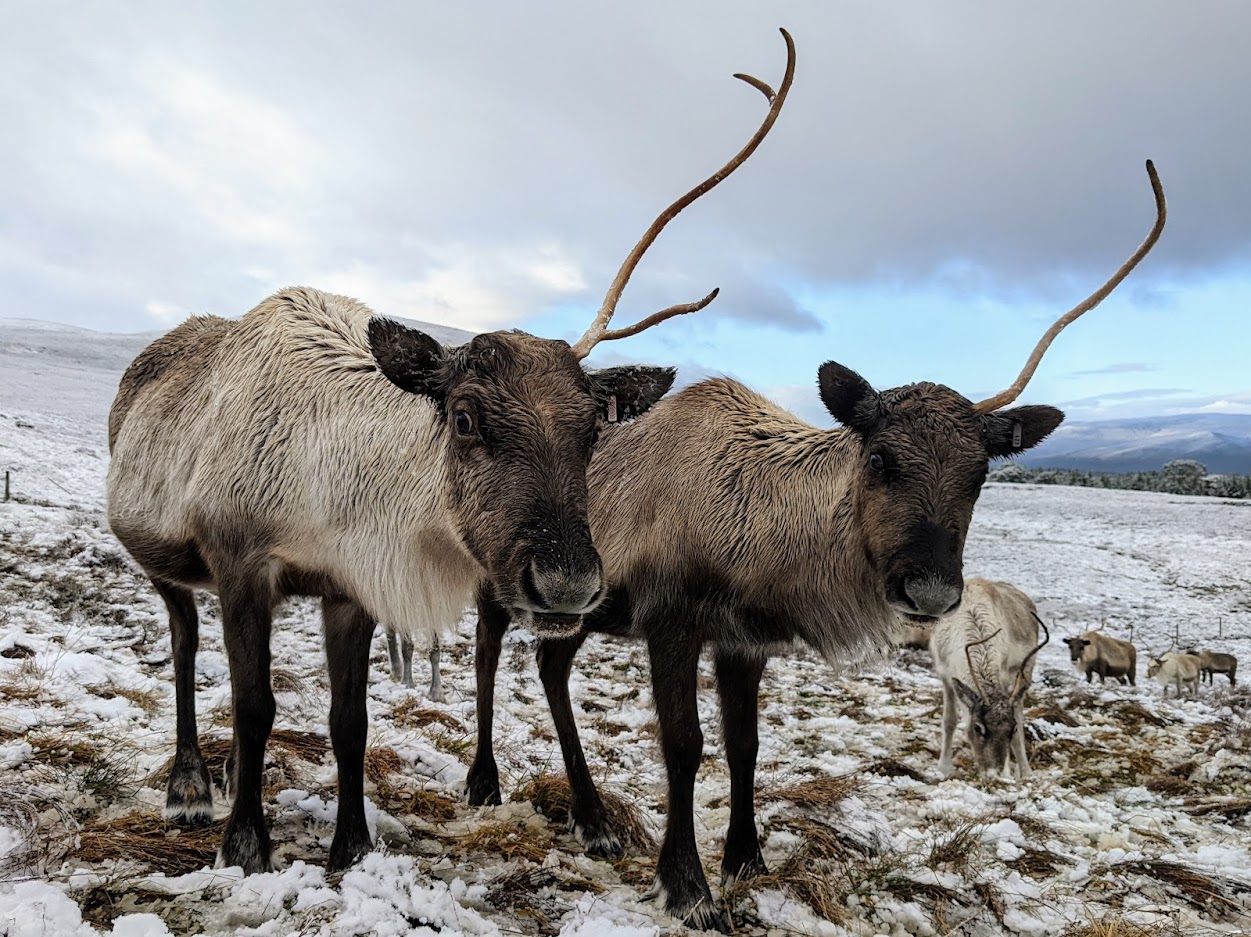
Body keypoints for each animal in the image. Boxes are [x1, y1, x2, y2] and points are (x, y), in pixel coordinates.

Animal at [105, 28, 797, 877]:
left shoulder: (346, 586)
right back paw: (190, 784)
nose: (567, 583)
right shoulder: (241, 562)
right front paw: (245, 842)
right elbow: (255, 702)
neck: (330, 487)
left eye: (593, 427)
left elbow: (348, 719)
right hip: (162, 558)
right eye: (464, 417)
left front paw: (351, 844)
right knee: (182, 642)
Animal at [929, 578, 1049, 779]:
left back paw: (1025, 772)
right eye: (978, 728)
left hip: (1023, 675)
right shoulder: (945, 674)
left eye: (1011, 729)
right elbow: (949, 721)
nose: (995, 774)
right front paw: (943, 768)